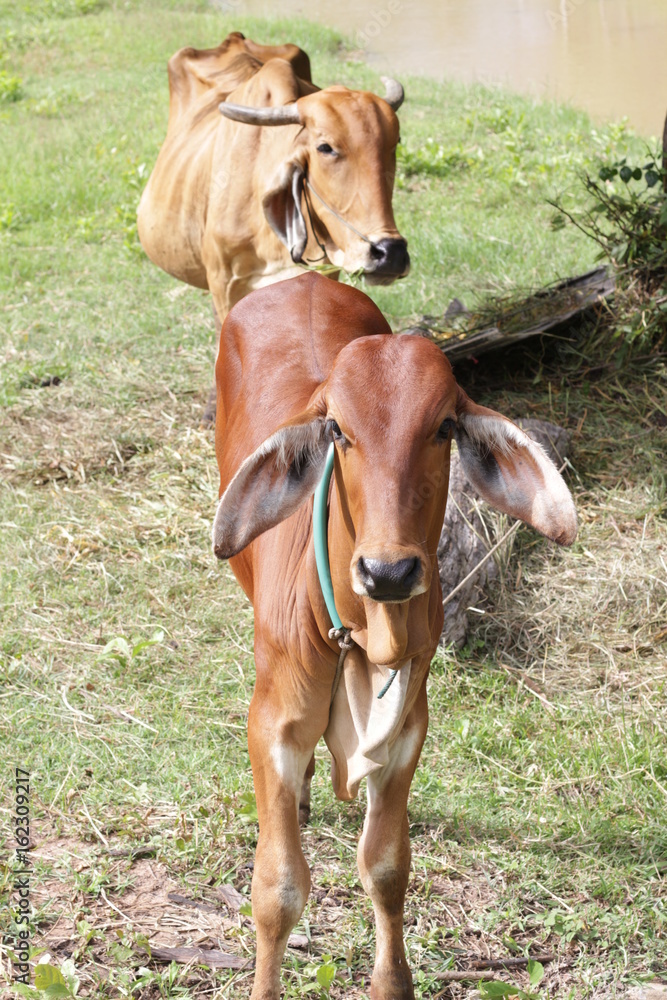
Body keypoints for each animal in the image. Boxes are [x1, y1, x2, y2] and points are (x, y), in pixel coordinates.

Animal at [211, 272, 577, 1000]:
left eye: (443, 426)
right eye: (337, 430)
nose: (388, 571)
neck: (359, 635)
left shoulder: (409, 726)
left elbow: (385, 869)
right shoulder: (271, 724)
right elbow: (278, 889)